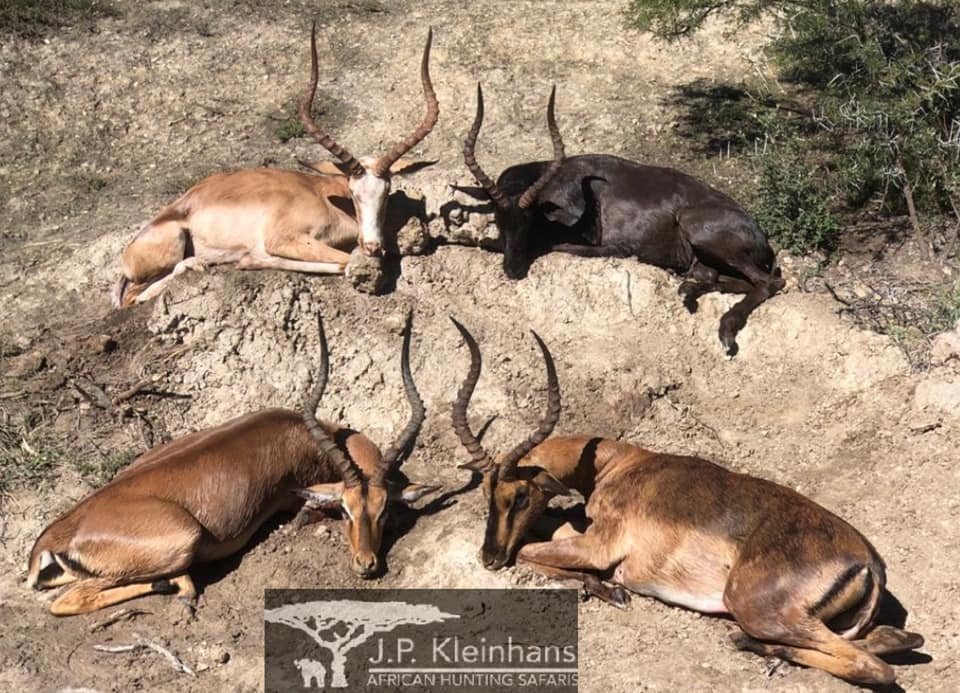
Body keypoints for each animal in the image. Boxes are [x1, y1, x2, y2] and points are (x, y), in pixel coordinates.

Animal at [25, 313, 439, 616]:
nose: (366, 563)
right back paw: (175, 587)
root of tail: (58, 534)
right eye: (347, 511)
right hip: (183, 540)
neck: (303, 436)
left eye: (384, 511)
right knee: (68, 601)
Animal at [112, 23, 438, 307]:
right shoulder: (283, 239)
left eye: (386, 193)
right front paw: (250, 259)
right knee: (133, 298)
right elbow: (342, 262)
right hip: (173, 244)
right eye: (354, 193)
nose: (372, 247)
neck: (325, 197)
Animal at [449, 319, 924, 686]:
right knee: (896, 641)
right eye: (487, 493)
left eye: (519, 495)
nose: (489, 557)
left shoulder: (599, 545)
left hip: (757, 608)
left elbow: (530, 553)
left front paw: (610, 590)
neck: (619, 465)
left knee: (873, 666)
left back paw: (748, 642)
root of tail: (868, 562)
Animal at [463, 85, 784, 356]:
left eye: (529, 221)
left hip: (699, 231)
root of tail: (763, 241)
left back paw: (726, 330)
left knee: (770, 282)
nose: (513, 270)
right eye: (499, 220)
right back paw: (687, 292)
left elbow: (556, 245)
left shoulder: (596, 239)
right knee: (724, 278)